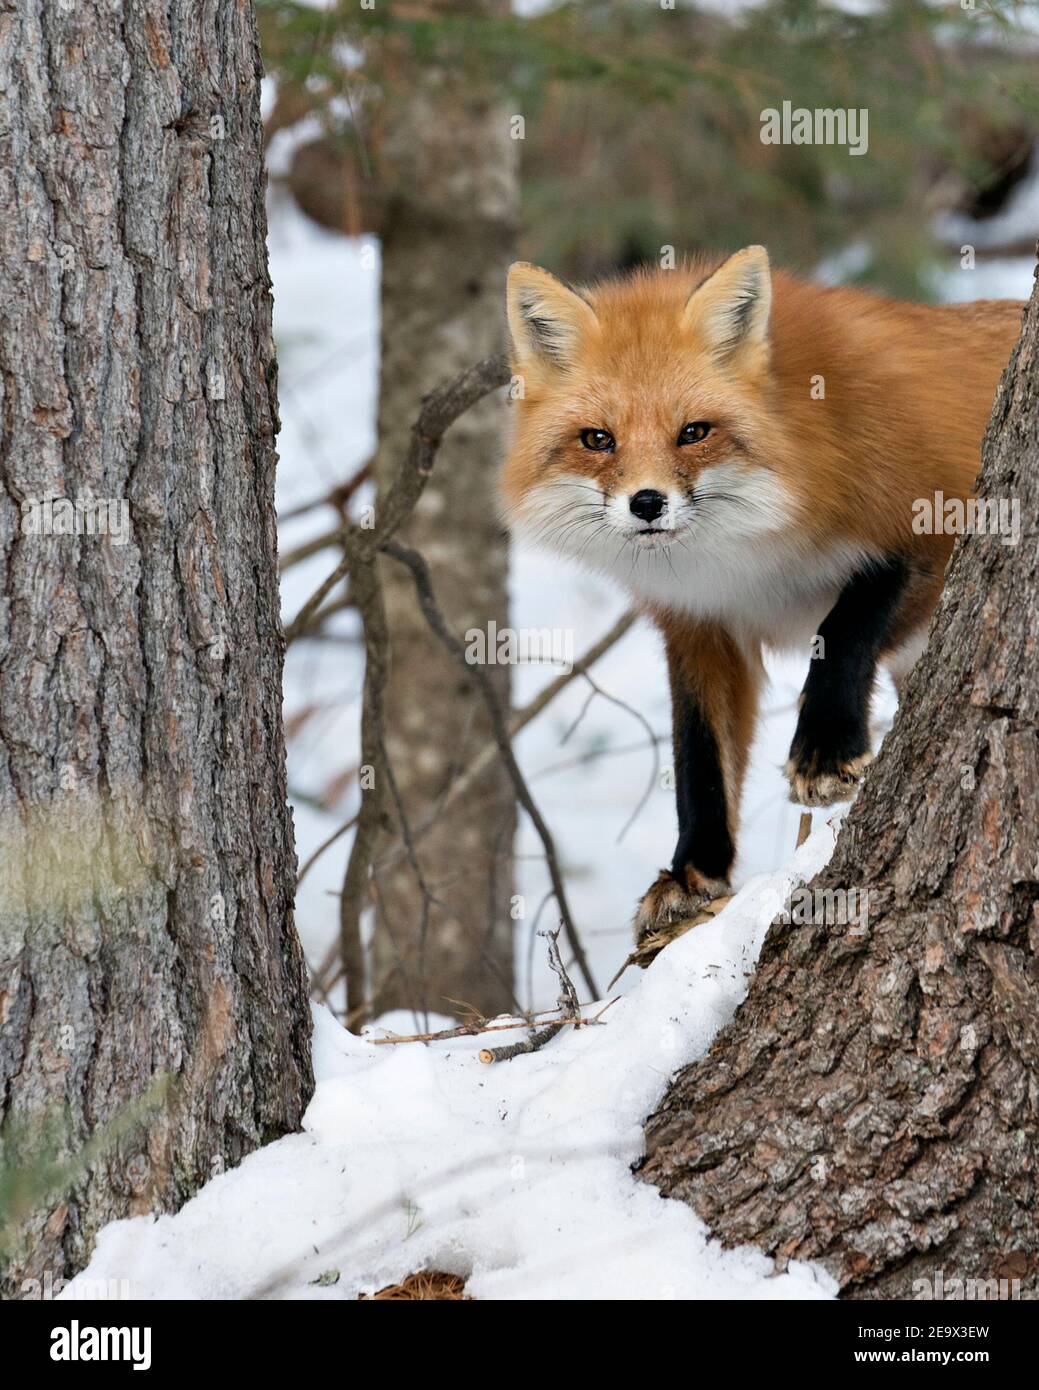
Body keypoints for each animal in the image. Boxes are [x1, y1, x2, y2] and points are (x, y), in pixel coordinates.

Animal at [500, 247, 1022, 942]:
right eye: (598, 440)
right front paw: (694, 871)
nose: (647, 504)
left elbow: (846, 624)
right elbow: (698, 756)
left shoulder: (943, 518)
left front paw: (825, 748)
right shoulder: (700, 623)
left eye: (694, 432)